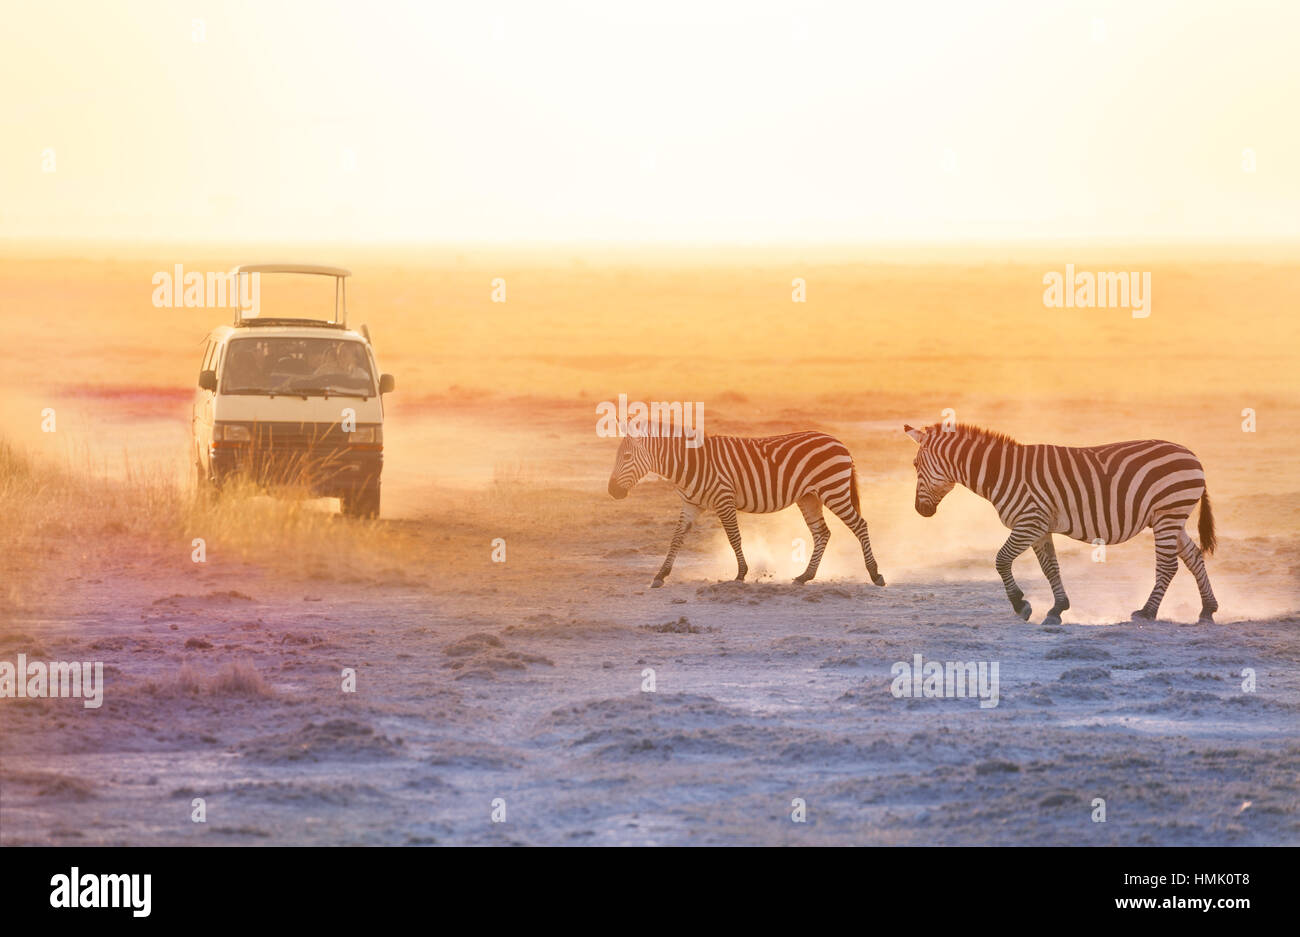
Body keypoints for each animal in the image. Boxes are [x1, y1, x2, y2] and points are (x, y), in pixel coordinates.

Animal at [608, 430, 887, 588]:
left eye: (627, 458)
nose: (612, 491)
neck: (688, 465)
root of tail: (838, 441)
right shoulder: (690, 505)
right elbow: (676, 539)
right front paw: (661, 575)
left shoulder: (724, 499)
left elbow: (734, 537)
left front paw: (741, 574)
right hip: (809, 497)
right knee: (822, 533)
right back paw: (805, 576)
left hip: (833, 490)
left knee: (860, 525)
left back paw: (875, 574)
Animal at [904, 422, 1219, 624]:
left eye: (915, 465)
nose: (920, 511)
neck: (1000, 473)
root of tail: (1193, 455)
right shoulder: (1040, 528)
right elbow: (1050, 568)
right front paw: (1057, 609)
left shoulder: (1028, 522)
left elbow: (1001, 560)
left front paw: (1021, 604)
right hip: (1170, 518)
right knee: (1193, 557)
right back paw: (1207, 610)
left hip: (1168, 513)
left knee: (1168, 565)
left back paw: (1147, 612)